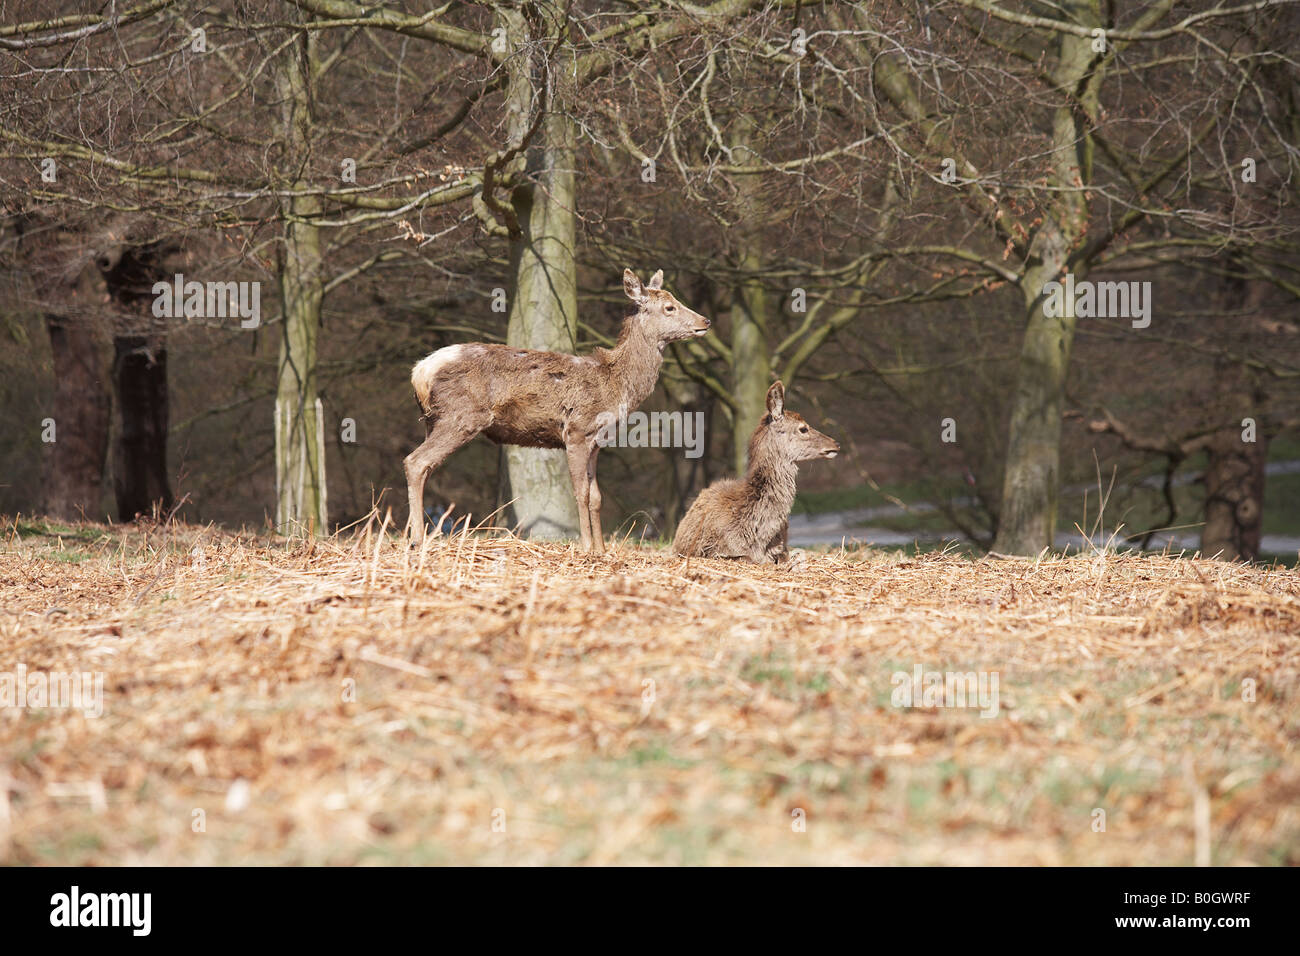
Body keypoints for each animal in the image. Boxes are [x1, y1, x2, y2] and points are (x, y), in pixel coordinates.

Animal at [405, 268, 711, 552]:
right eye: (669, 307)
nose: (705, 321)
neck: (616, 385)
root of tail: (420, 371)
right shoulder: (576, 430)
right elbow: (581, 492)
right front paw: (586, 547)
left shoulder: (597, 442)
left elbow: (597, 497)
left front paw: (602, 550)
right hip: (461, 416)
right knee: (415, 461)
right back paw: (418, 540)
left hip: (433, 421)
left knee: (425, 466)